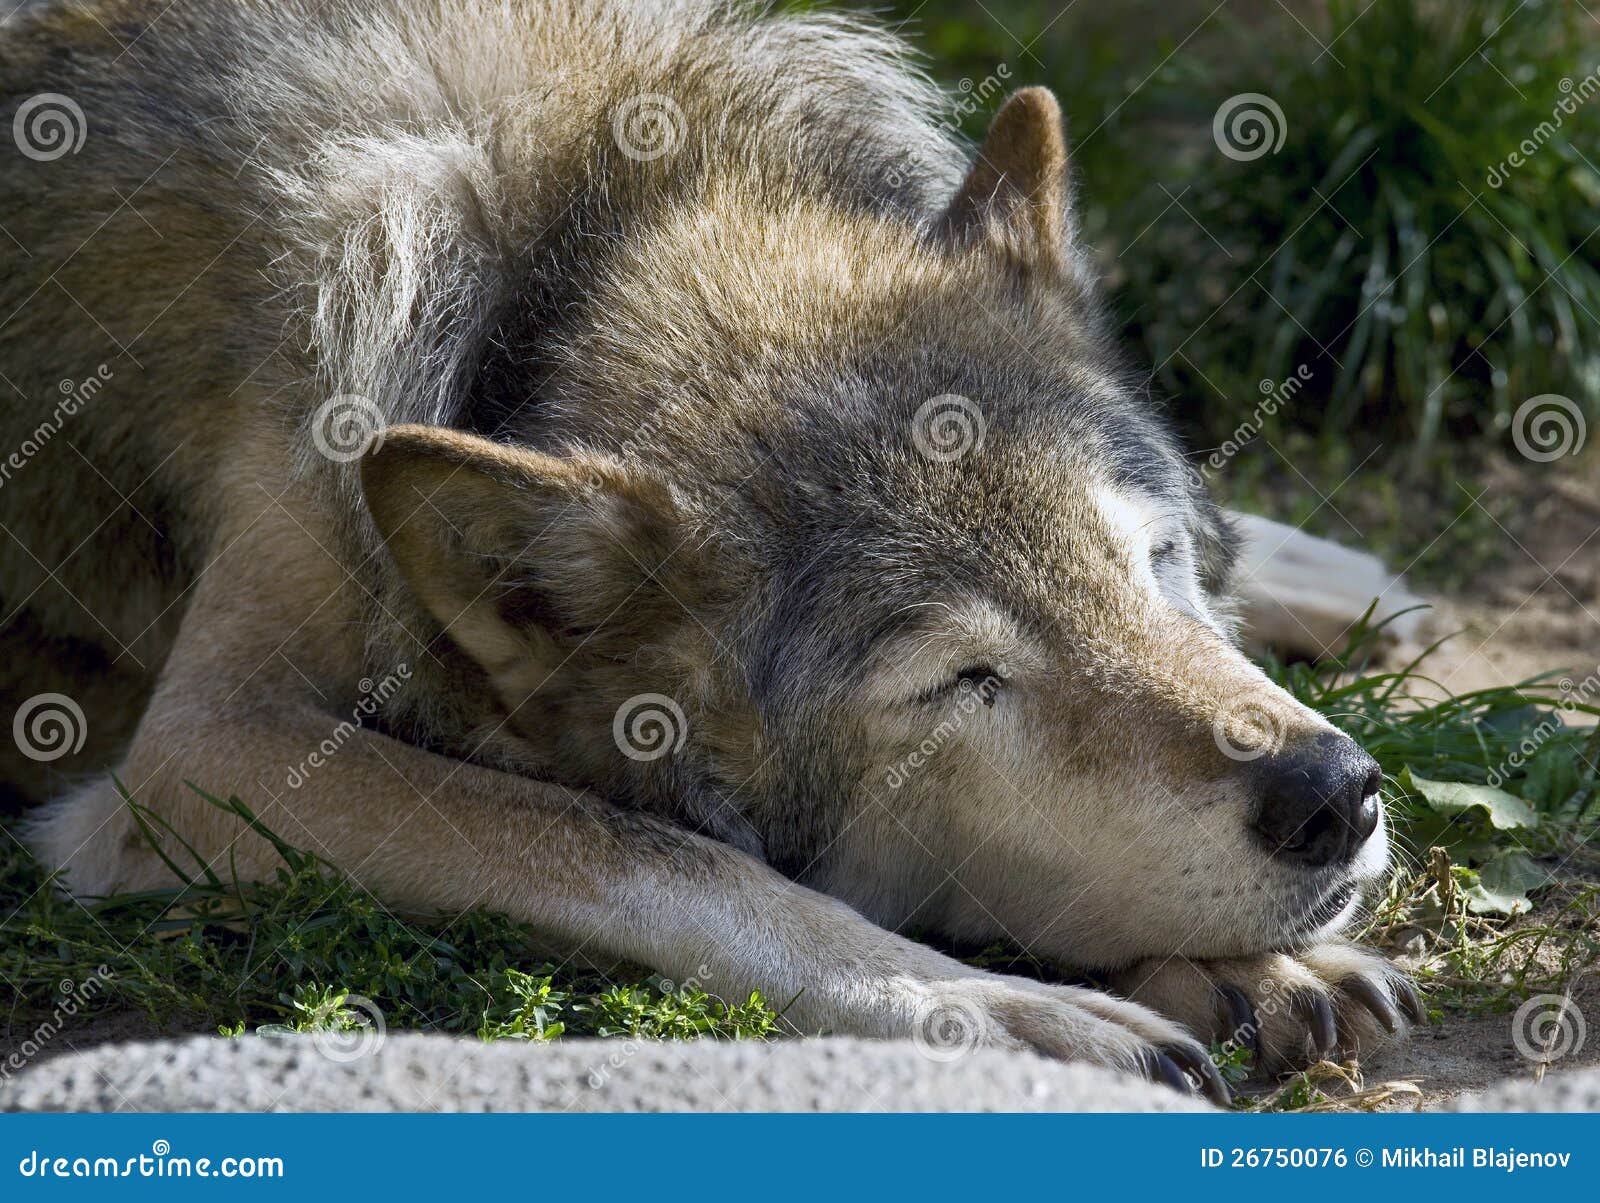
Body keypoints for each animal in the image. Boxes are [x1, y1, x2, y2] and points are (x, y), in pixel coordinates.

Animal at [0, 0, 1420, 1101]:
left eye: (1149, 566)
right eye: (962, 682)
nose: (1333, 794)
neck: (564, 248)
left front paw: (1261, 965)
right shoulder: (205, 755)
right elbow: (641, 850)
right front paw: (1005, 1013)